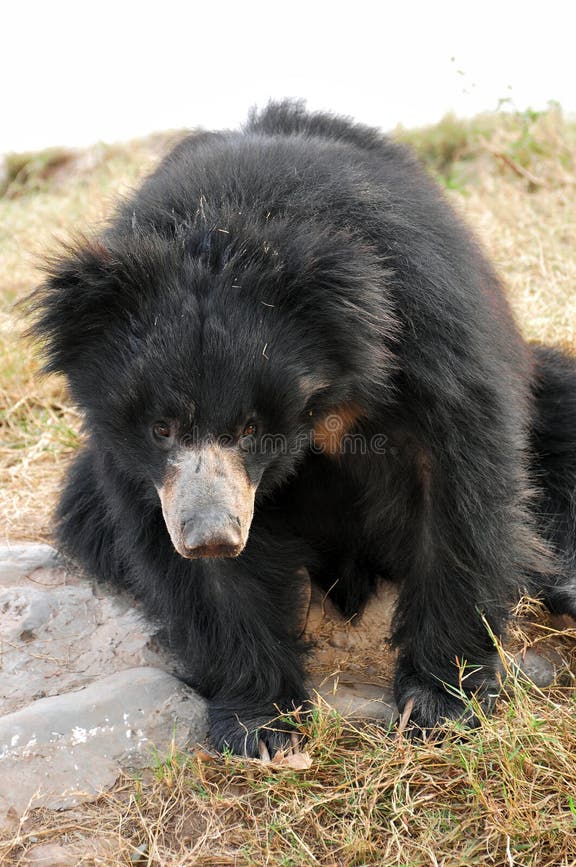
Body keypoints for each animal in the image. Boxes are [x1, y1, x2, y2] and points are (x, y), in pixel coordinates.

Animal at [27, 101, 576, 756]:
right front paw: (260, 724)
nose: (211, 536)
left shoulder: (430, 336)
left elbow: (458, 491)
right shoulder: (140, 468)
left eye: (250, 428)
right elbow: (206, 580)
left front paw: (442, 702)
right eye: (160, 427)